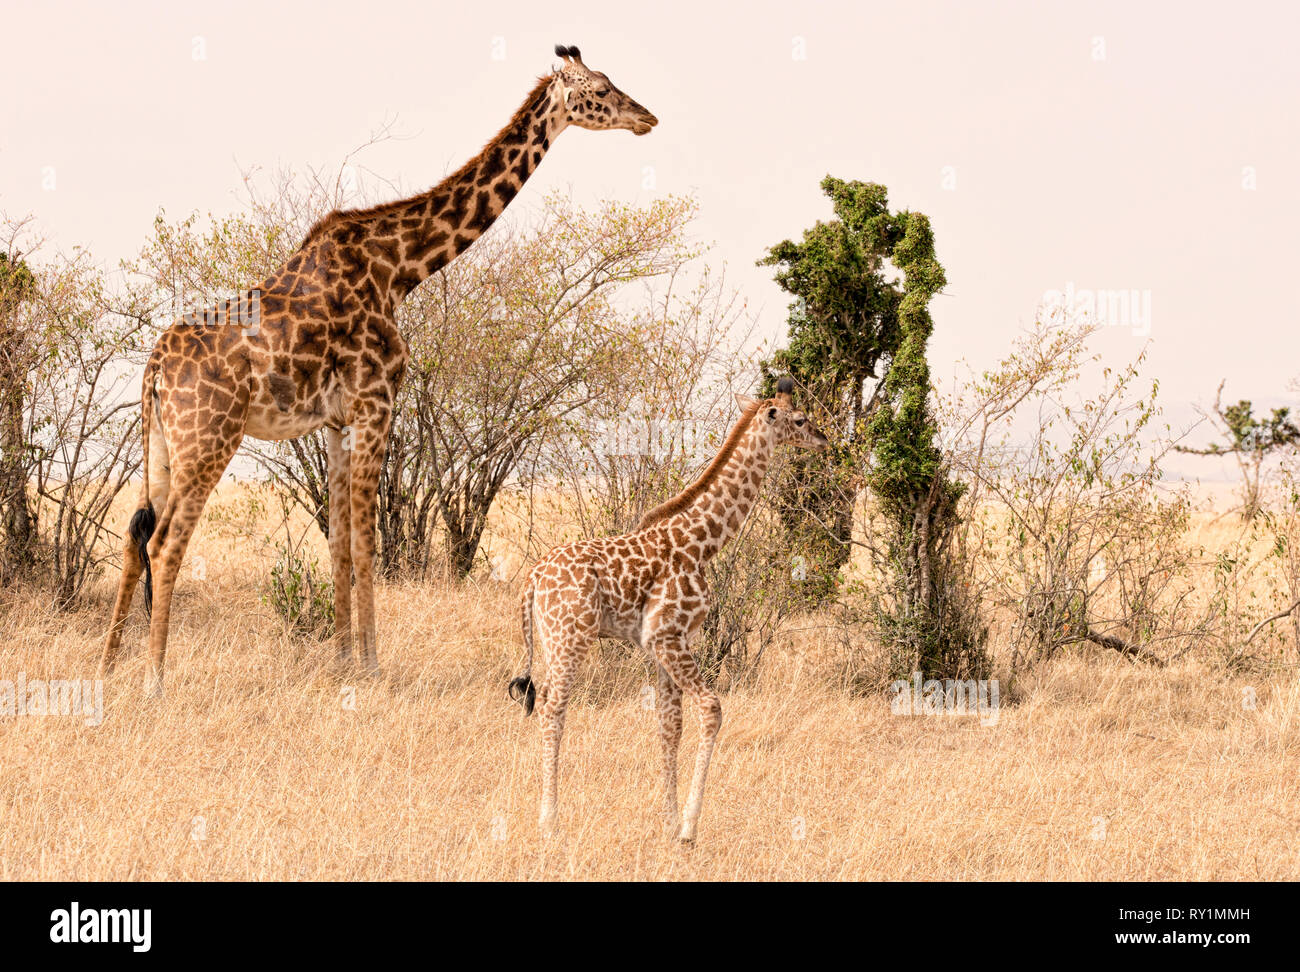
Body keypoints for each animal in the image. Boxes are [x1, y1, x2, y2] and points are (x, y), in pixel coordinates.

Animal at [100, 45, 658, 697]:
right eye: (602, 88)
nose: (647, 117)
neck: (401, 268)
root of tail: (155, 367)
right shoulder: (376, 402)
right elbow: (368, 543)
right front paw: (370, 665)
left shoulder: (336, 423)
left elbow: (340, 543)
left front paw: (342, 657)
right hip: (210, 437)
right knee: (166, 543)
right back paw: (154, 680)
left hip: (162, 443)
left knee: (136, 536)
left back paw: (107, 668)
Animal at [508, 377, 829, 841]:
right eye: (801, 419)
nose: (824, 439)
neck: (703, 542)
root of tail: (533, 578)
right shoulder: (666, 636)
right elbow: (711, 708)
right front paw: (689, 827)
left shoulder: (668, 644)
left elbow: (669, 727)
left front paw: (670, 819)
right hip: (572, 636)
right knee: (554, 708)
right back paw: (549, 821)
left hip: (551, 639)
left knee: (547, 699)